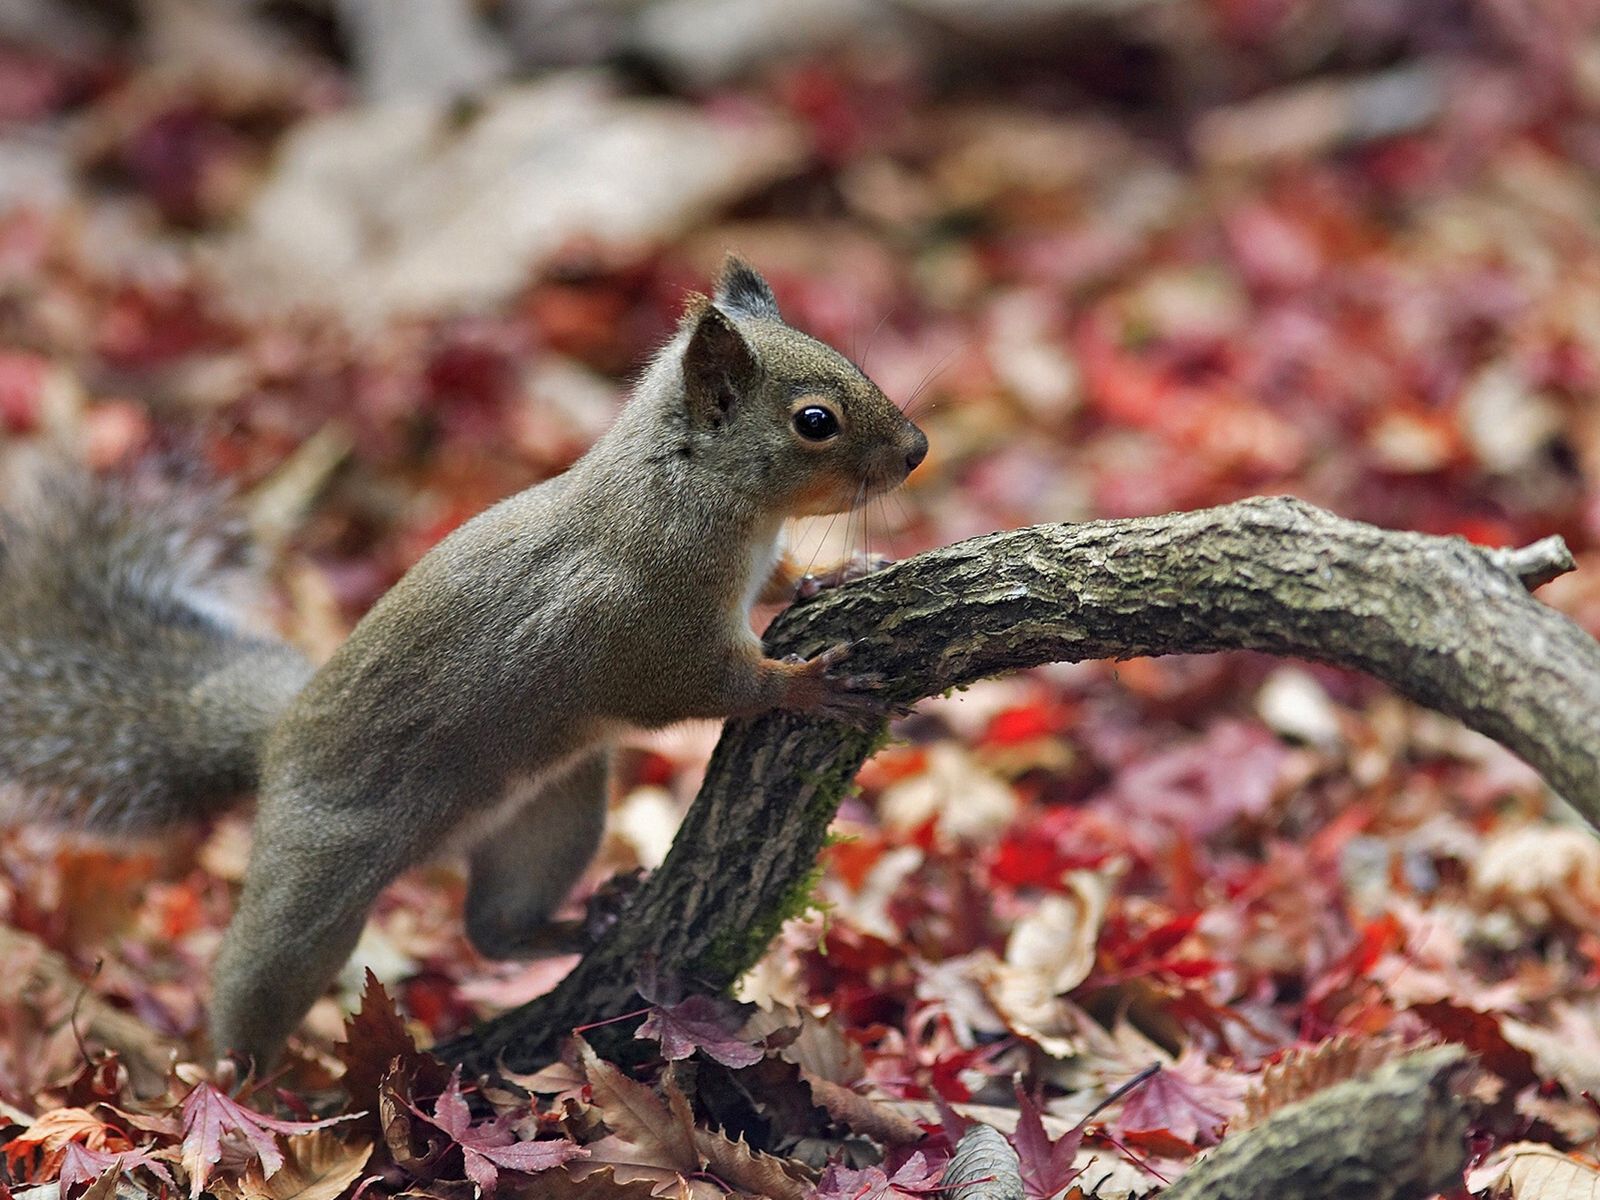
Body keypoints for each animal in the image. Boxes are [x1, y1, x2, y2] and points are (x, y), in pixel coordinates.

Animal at [0, 258, 928, 1068]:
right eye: (815, 421)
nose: (918, 449)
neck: (692, 491)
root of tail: (274, 744)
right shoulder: (646, 627)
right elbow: (699, 686)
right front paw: (805, 686)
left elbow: (777, 582)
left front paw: (832, 573)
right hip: (316, 878)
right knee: (260, 970)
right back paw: (239, 1087)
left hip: (552, 814)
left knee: (492, 928)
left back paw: (582, 920)